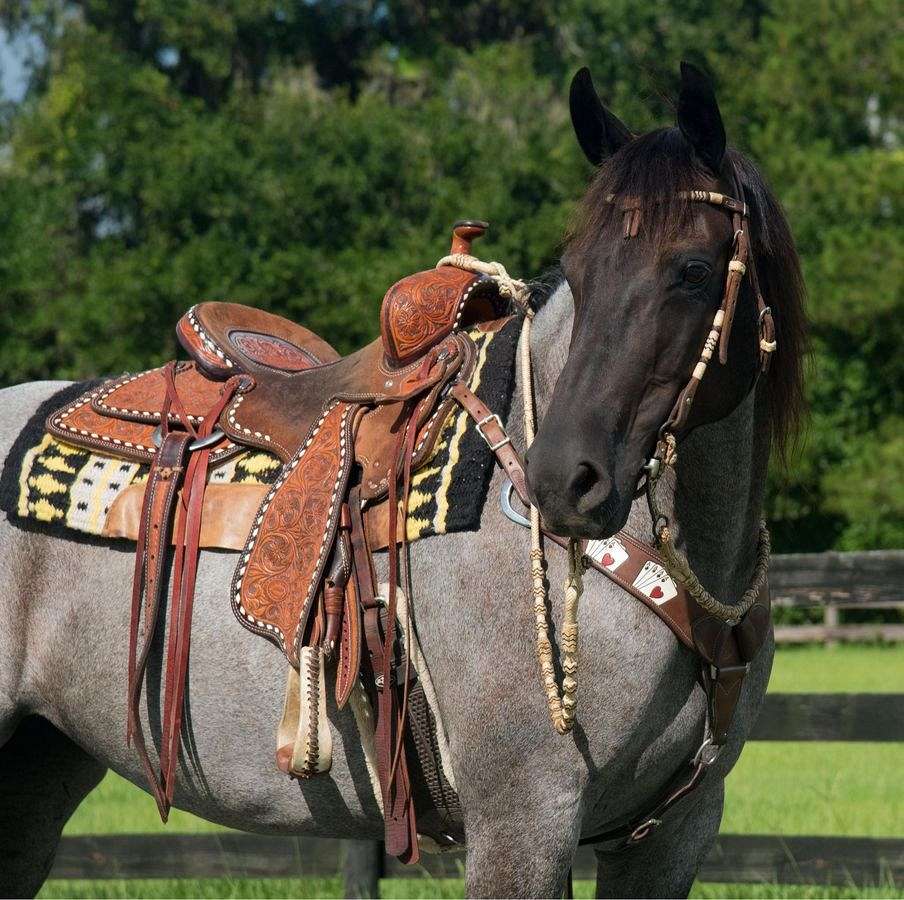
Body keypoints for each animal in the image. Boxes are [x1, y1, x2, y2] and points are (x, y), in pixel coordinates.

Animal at [0, 62, 805, 898]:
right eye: (579, 274)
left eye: (692, 270)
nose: (562, 481)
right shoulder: (526, 819)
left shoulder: (670, 834)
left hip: (39, 769)